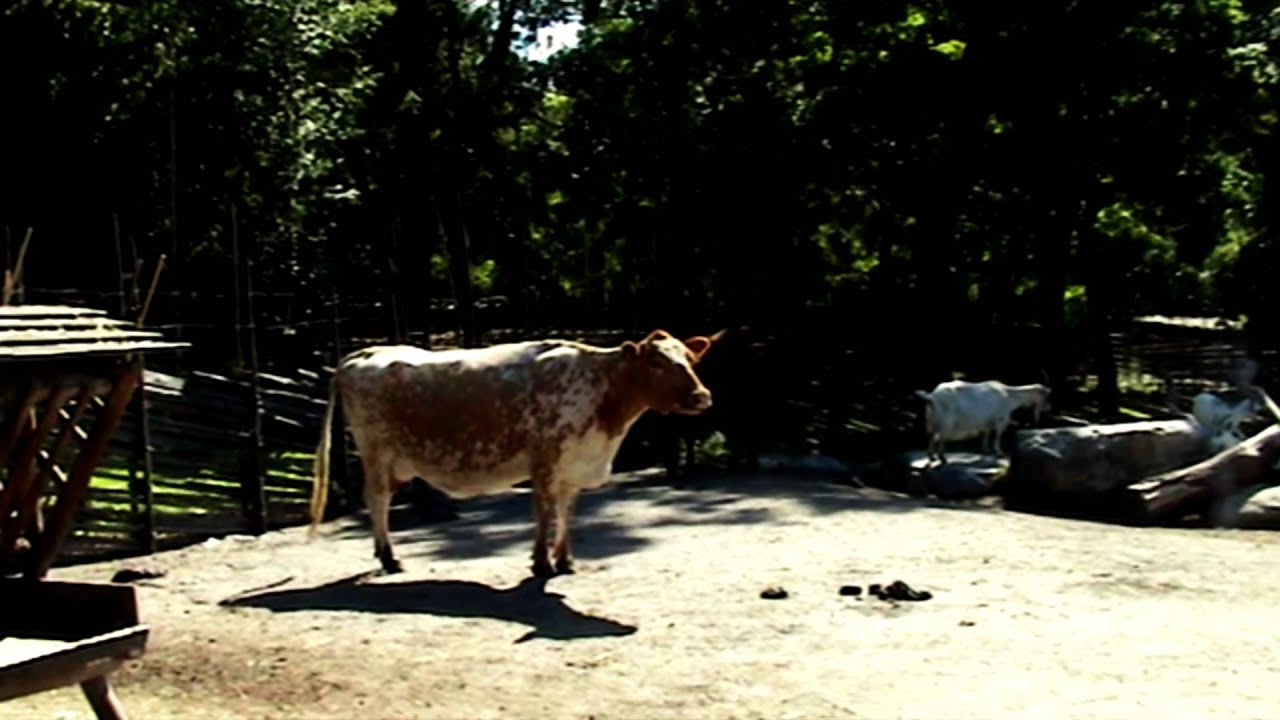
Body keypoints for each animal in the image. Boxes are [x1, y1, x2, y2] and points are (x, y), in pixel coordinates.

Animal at [308, 329, 720, 578]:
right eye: (656, 362)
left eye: (690, 358)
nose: (702, 396)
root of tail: (365, 352)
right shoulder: (545, 462)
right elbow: (544, 513)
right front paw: (541, 563)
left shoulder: (573, 466)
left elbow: (566, 513)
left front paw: (564, 560)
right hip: (376, 452)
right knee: (376, 500)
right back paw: (389, 557)